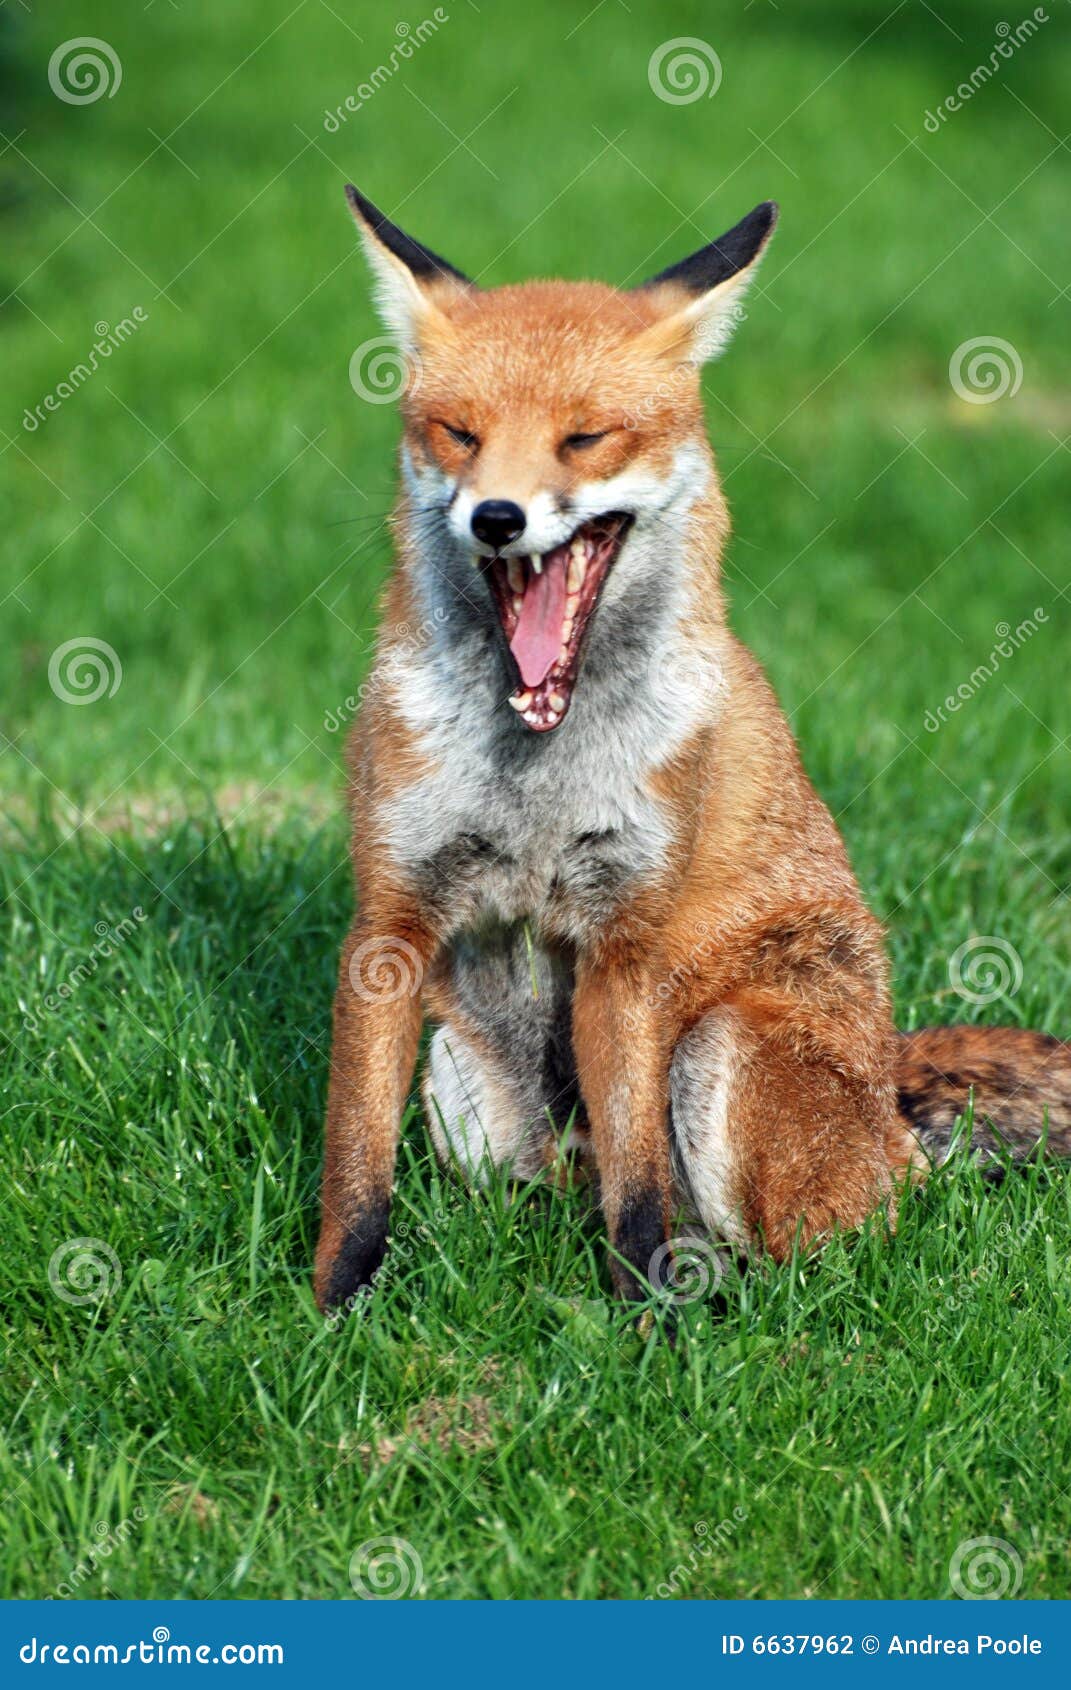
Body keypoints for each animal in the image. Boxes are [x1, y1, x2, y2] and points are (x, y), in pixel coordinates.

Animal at [314, 184, 1071, 1315]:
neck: (534, 763)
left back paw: (721, 1290)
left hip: (723, 1051)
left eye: (584, 438)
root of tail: (890, 1101)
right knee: (563, 1185)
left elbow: (639, 1190)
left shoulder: (627, 939)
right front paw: (333, 1308)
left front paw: (643, 1322)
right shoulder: (391, 923)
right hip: (466, 1091)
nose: (497, 518)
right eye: (459, 434)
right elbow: (356, 1164)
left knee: (806, 1253)